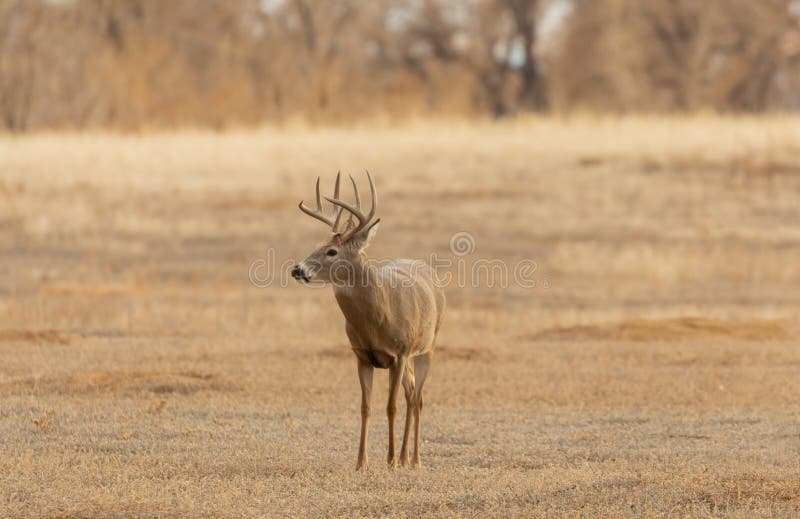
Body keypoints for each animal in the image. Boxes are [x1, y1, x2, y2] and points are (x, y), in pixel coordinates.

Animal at [291, 172, 445, 470]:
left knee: (417, 398)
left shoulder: (398, 353)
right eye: (316, 246)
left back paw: (414, 459)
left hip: (426, 348)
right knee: (411, 394)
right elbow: (366, 407)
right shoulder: (362, 356)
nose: (297, 269)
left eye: (332, 251)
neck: (379, 318)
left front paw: (390, 461)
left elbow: (391, 406)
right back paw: (406, 457)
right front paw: (361, 462)